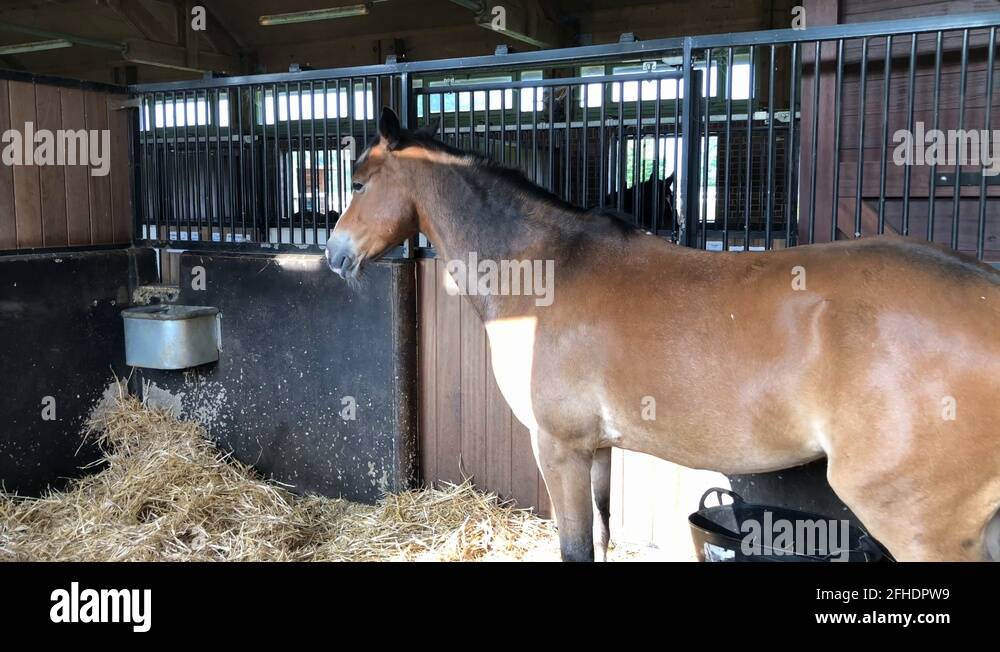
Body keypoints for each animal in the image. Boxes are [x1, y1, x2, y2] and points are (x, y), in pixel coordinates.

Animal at [326, 107, 1000, 562]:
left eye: (358, 181)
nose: (333, 257)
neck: (548, 266)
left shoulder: (561, 448)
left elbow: (577, 546)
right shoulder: (598, 450)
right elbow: (600, 537)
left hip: (917, 524)